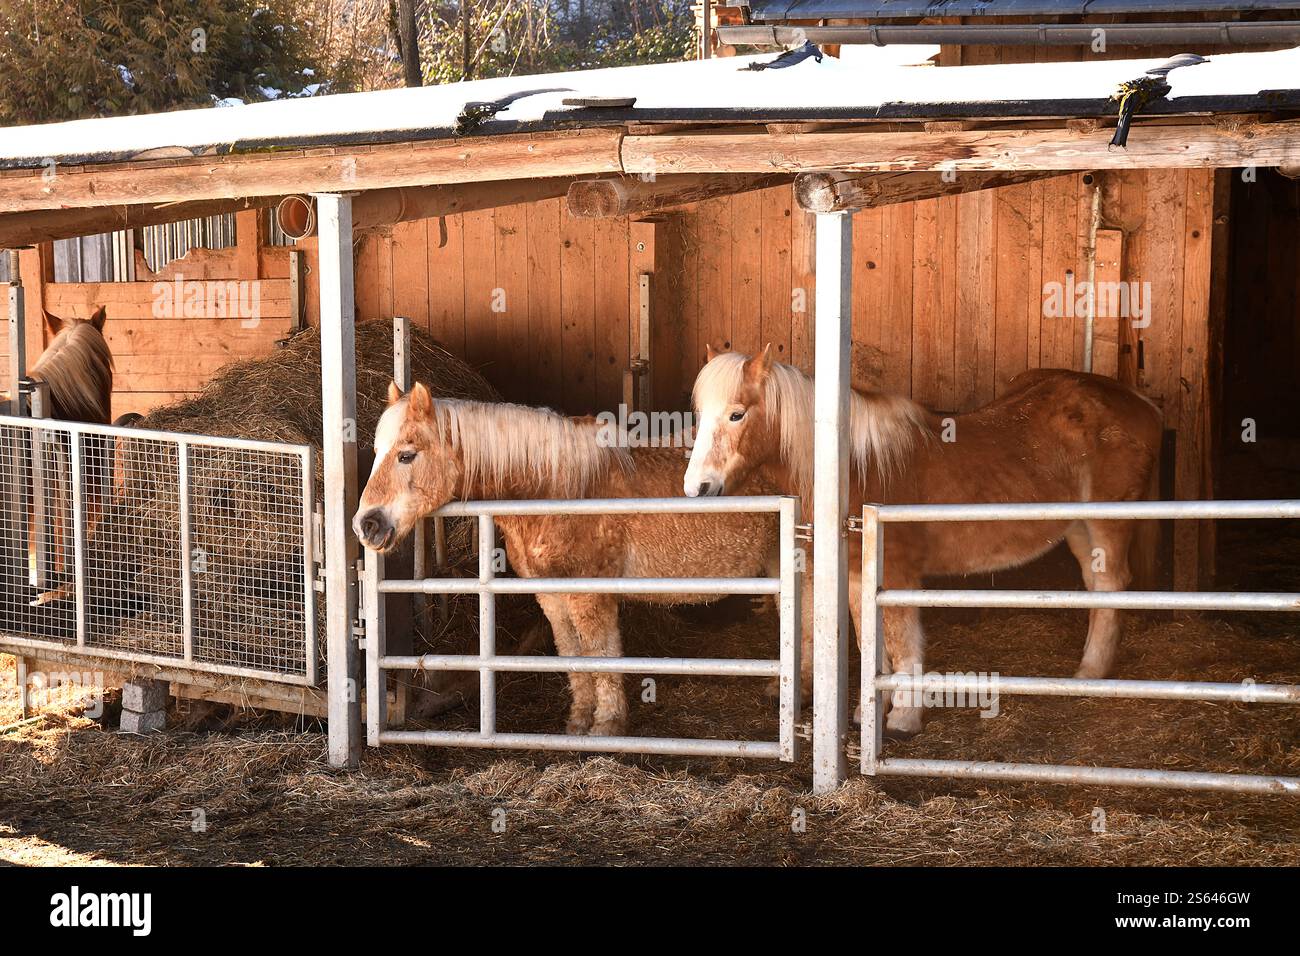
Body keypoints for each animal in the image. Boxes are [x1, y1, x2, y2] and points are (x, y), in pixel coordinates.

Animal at [352, 381, 779, 737]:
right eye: (375, 452)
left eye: (407, 455)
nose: (366, 525)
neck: (556, 489)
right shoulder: (552, 595)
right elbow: (573, 653)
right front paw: (578, 721)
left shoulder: (590, 594)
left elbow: (602, 654)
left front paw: (607, 725)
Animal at [684, 346, 1162, 738]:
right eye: (699, 415)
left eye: (737, 414)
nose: (698, 487)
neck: (856, 469)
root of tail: (1139, 402)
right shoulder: (856, 575)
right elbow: (871, 642)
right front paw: (868, 713)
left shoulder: (897, 575)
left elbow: (902, 643)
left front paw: (903, 718)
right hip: (1079, 528)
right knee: (1099, 588)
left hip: (1107, 522)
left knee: (1113, 586)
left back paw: (1091, 673)